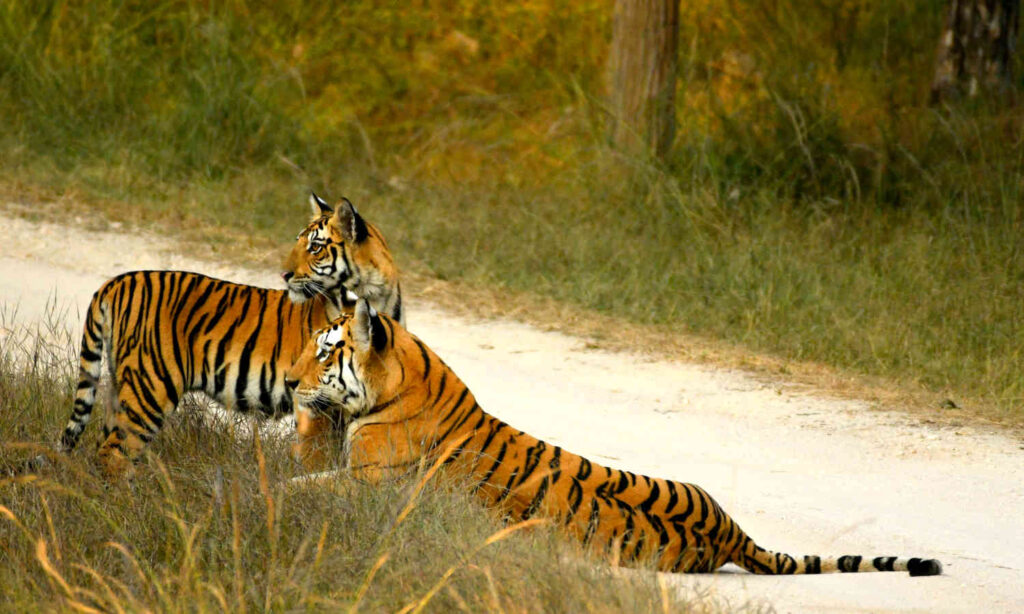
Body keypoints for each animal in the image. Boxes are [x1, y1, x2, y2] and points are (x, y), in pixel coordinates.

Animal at [56, 193, 402, 479]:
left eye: (315, 247)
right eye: (298, 242)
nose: (284, 275)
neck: (375, 295)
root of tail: (115, 282)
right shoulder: (317, 404)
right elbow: (317, 459)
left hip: (122, 387)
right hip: (150, 388)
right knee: (113, 454)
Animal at [283, 300, 943, 576]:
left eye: (325, 350)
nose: (288, 382)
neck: (402, 383)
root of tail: (733, 535)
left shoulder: (368, 484)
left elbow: (301, 482)